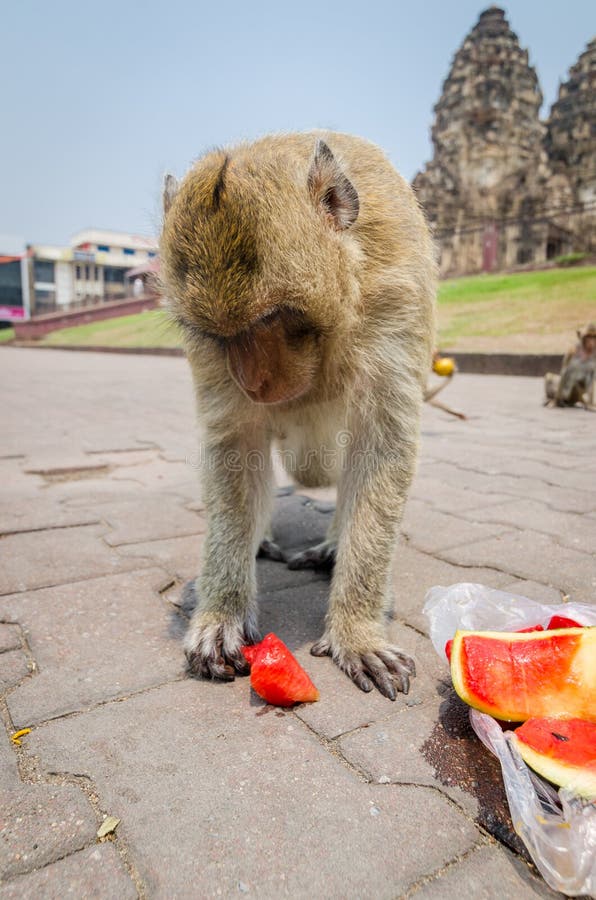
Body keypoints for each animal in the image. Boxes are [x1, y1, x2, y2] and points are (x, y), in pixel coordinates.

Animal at [160, 132, 436, 700]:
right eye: (218, 335)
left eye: (272, 318)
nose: (251, 381)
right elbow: (234, 447)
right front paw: (221, 614)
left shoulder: (393, 299)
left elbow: (383, 446)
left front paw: (357, 629)